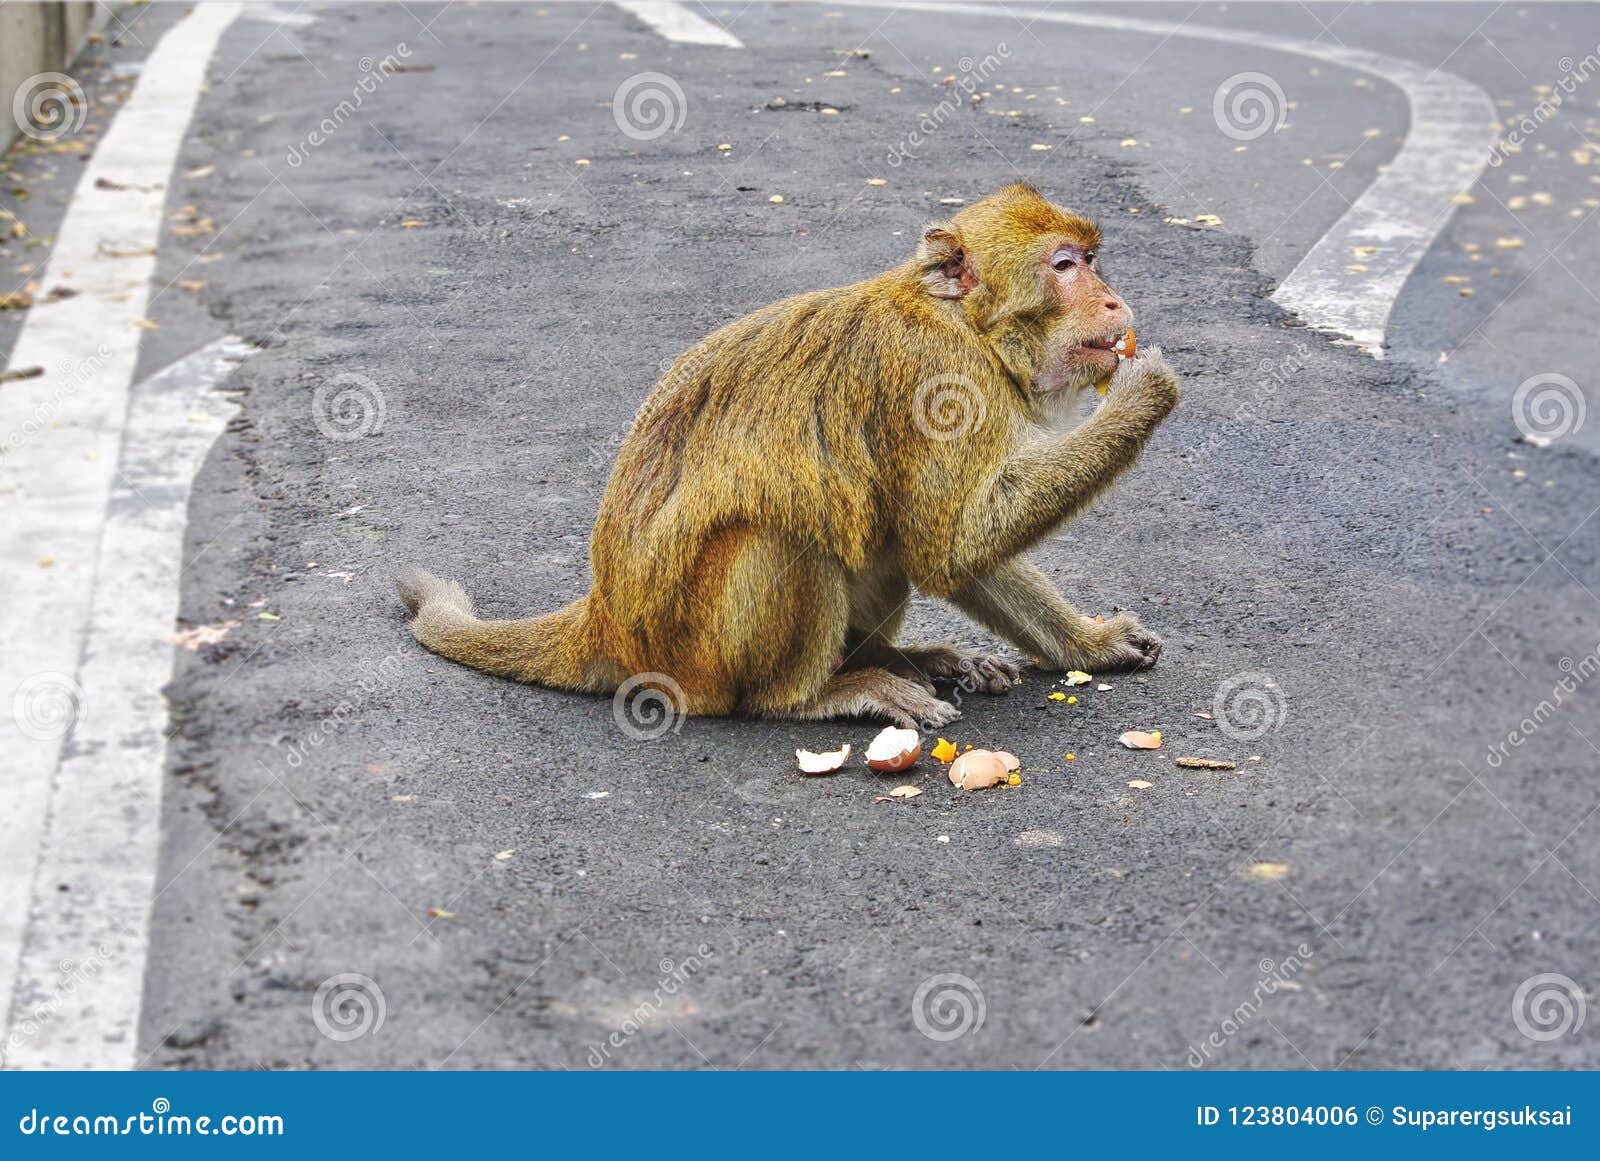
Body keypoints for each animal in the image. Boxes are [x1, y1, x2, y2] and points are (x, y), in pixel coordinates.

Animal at [396, 182, 1179, 729]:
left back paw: (892, 656)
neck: (965, 323)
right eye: (1065, 266)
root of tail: (608, 615)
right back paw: (818, 693)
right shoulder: (939, 379)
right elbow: (949, 543)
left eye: (1092, 260)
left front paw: (1088, 646)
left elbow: (950, 548)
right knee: (784, 528)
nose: (1114, 302)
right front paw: (1142, 396)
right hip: (692, 651)